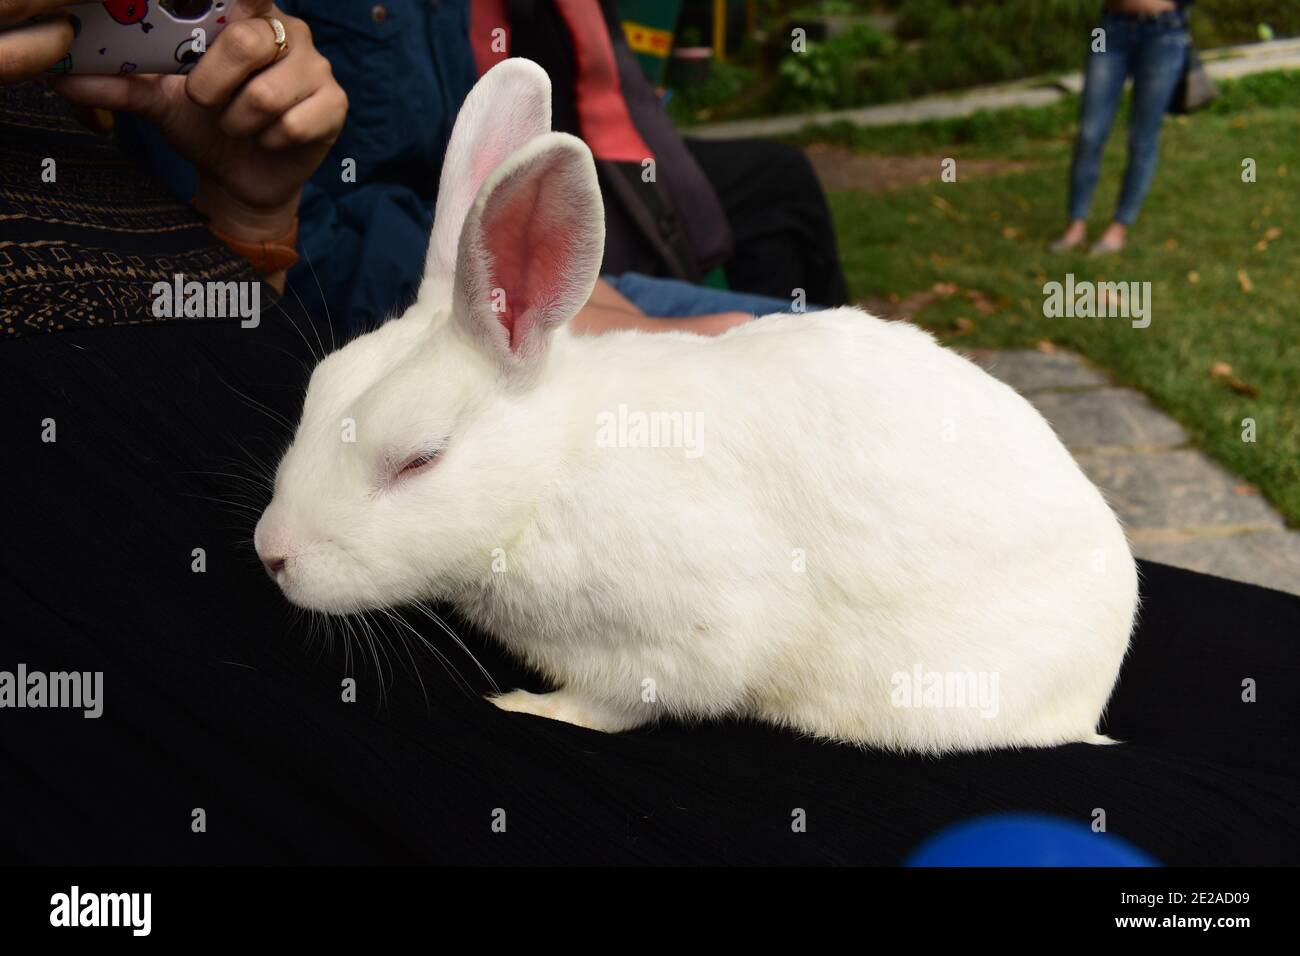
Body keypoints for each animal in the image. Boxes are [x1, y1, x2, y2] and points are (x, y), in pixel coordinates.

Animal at [254, 58, 1139, 754]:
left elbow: (617, 703)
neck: (548, 475)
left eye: (419, 460)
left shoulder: (678, 641)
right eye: (319, 388)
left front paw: (529, 706)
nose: (272, 555)